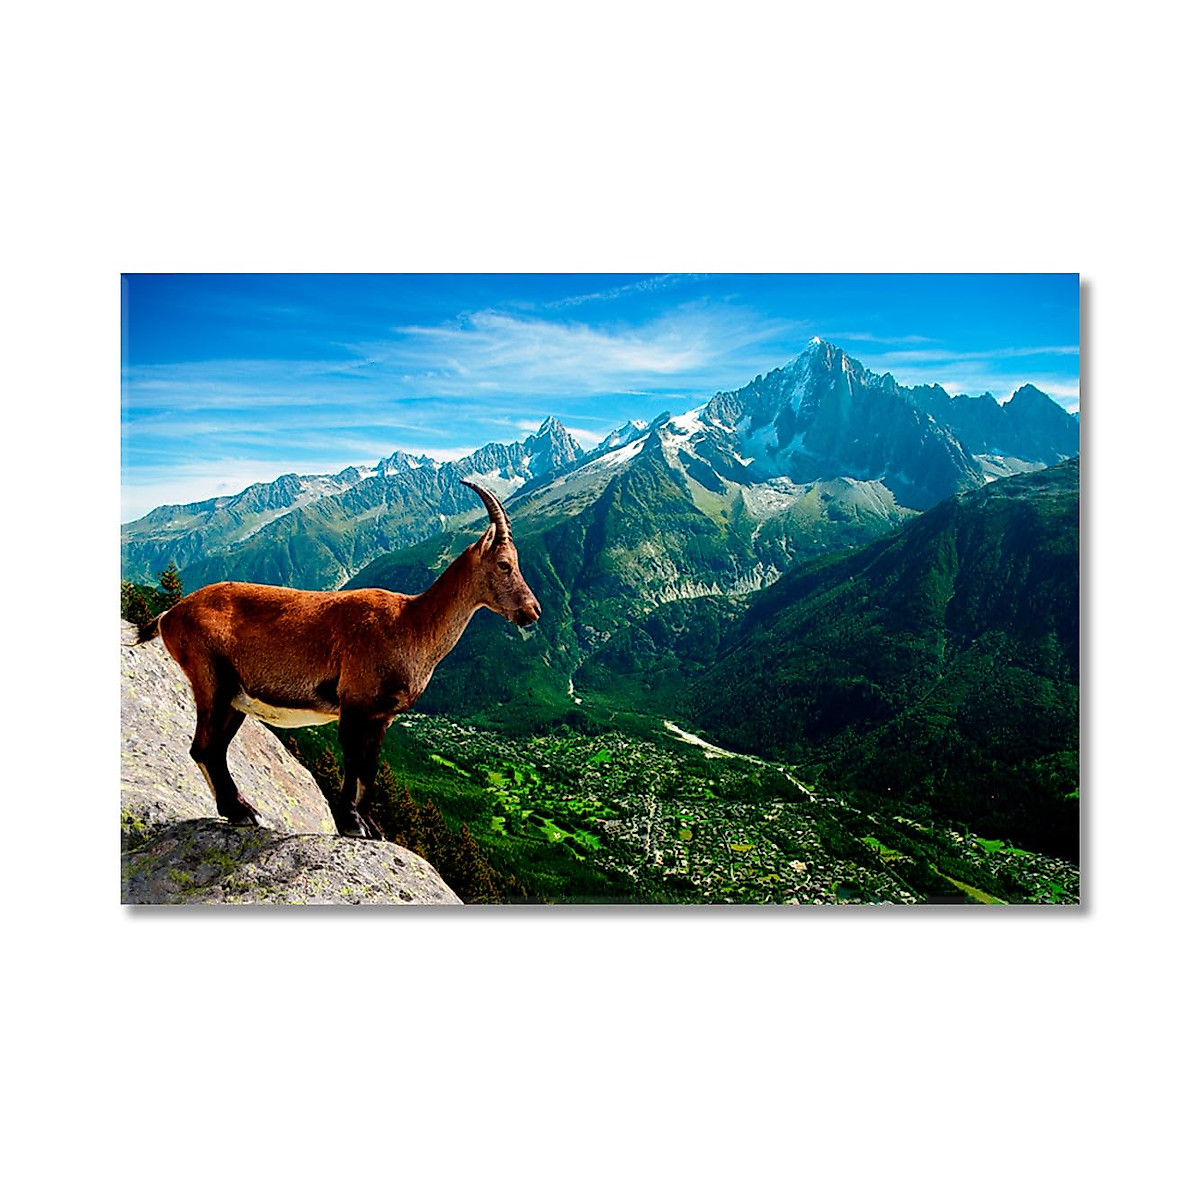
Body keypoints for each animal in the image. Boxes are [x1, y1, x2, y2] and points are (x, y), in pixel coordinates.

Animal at [135, 479, 541, 838]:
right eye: (504, 564)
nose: (532, 611)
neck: (410, 624)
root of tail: (169, 615)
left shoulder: (381, 717)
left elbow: (369, 768)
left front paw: (372, 827)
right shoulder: (354, 702)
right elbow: (352, 757)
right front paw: (351, 824)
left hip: (236, 699)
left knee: (214, 748)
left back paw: (241, 810)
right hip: (211, 680)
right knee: (203, 747)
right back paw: (241, 813)